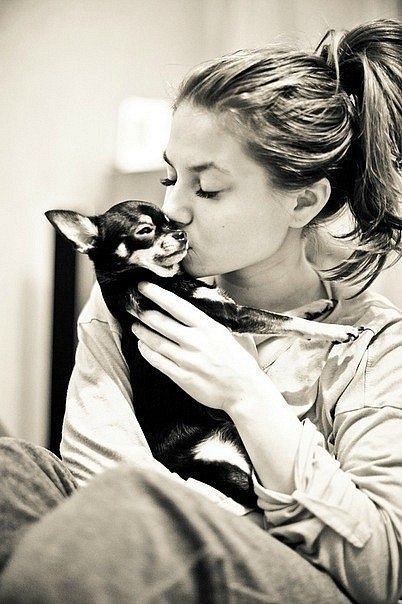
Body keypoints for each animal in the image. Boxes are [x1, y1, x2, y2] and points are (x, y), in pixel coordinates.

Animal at [46, 200, 361, 507]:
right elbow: (282, 320)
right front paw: (336, 330)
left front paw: (316, 305)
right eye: (145, 231)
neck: (147, 278)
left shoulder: (234, 315)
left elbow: (284, 314)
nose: (181, 234)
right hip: (224, 463)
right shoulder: (234, 316)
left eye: (170, 222)